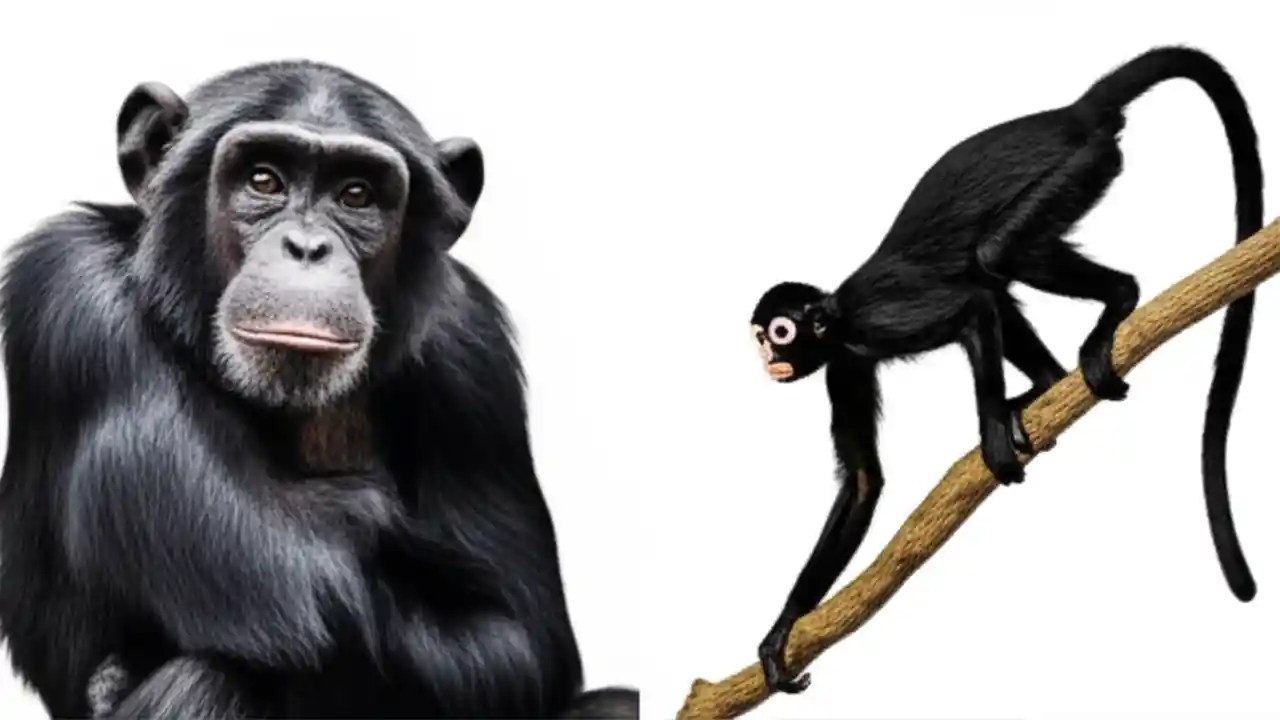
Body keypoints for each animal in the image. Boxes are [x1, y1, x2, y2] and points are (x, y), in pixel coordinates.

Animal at [747, 46, 1262, 695]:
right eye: (759, 336)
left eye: (781, 331)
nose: (768, 358)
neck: (836, 316)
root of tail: (1070, 114)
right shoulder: (845, 361)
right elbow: (863, 482)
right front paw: (783, 629)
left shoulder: (873, 322)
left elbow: (974, 306)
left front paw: (990, 427)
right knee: (996, 275)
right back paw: (1045, 388)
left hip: (1083, 166)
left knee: (996, 257)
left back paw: (1116, 305)